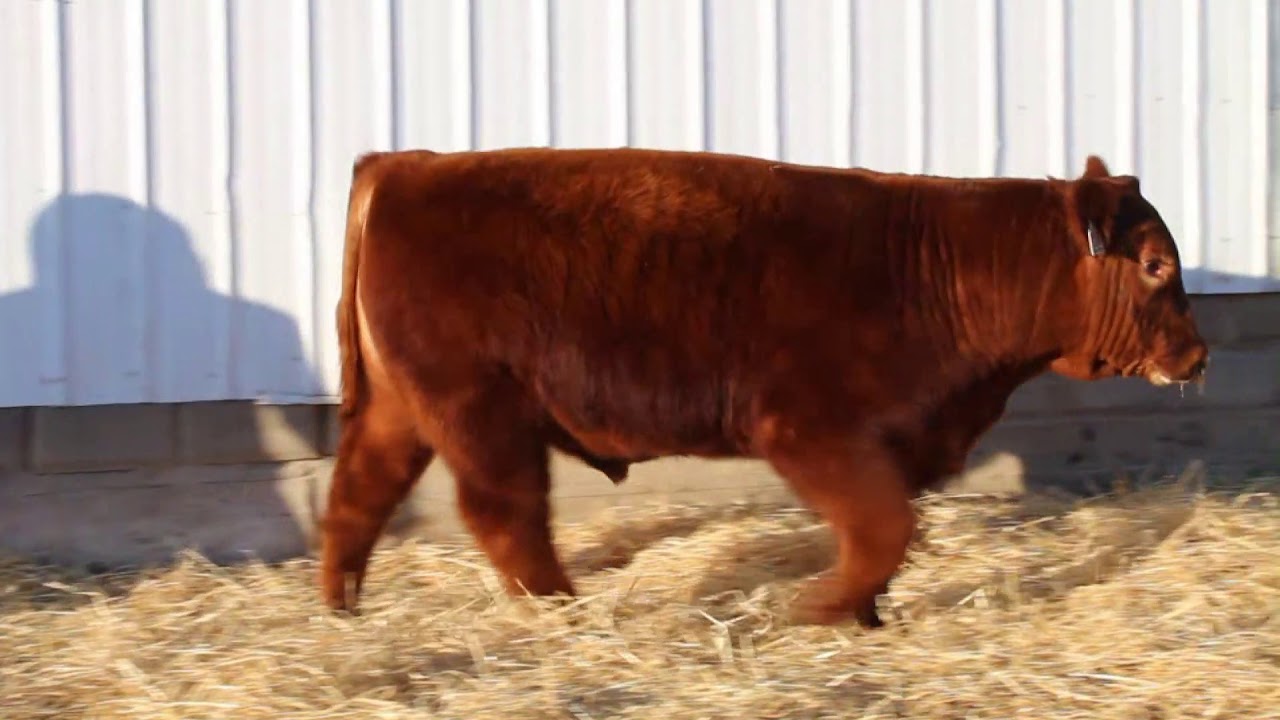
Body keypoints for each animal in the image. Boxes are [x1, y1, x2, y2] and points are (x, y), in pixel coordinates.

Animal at [319, 146, 1209, 628]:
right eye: (1154, 264)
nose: (1198, 356)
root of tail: (406, 166)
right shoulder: (811, 430)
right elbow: (886, 530)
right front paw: (819, 610)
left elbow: (884, 537)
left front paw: (861, 615)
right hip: (479, 411)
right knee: (504, 514)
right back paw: (562, 612)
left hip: (404, 410)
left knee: (358, 495)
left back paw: (342, 607)